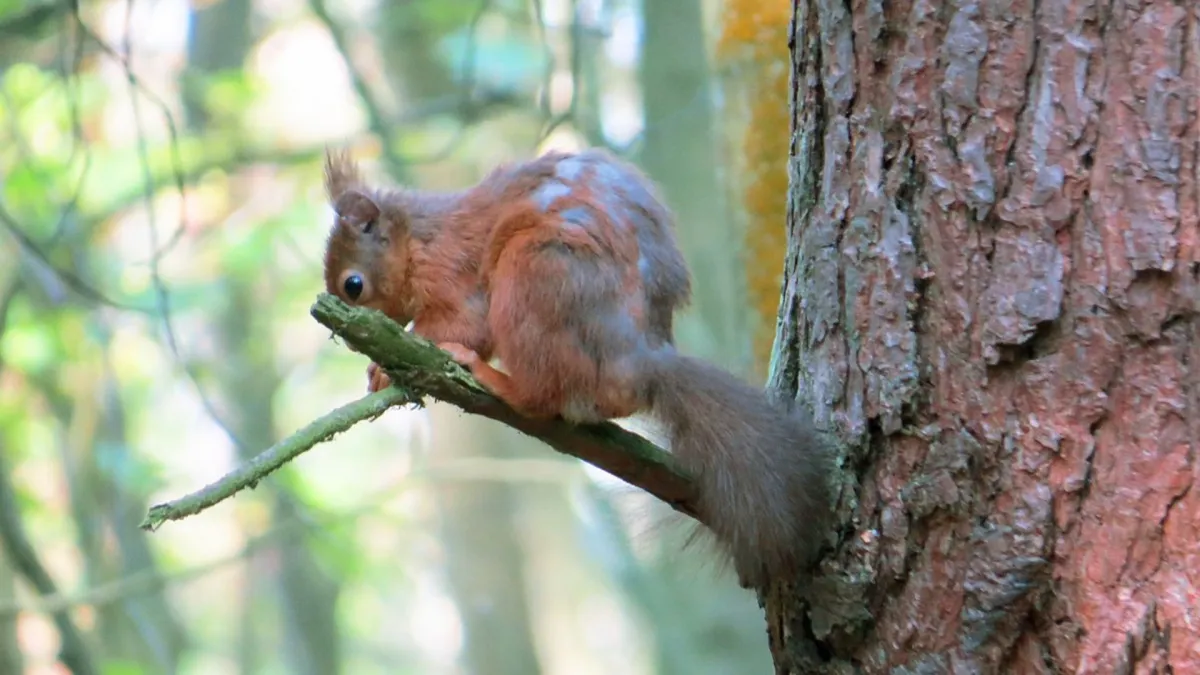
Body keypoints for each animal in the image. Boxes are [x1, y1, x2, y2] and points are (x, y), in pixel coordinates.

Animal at [320, 147, 835, 587]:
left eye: (353, 284)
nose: (343, 340)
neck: (418, 236)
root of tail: (639, 362)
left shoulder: (452, 273)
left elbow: (463, 324)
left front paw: (389, 364)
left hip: (533, 272)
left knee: (539, 397)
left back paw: (496, 379)